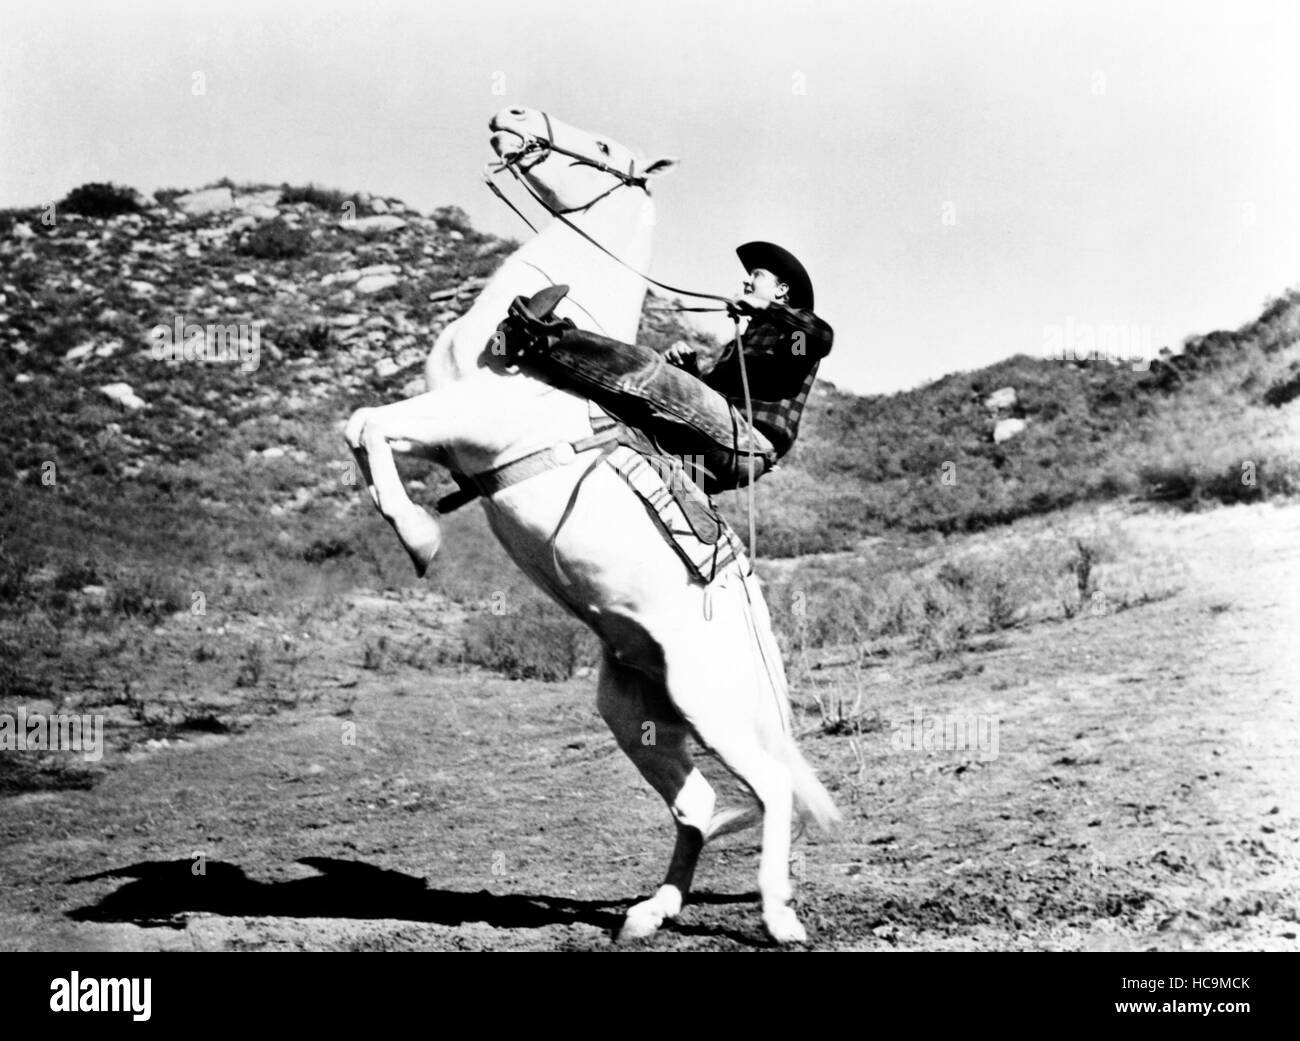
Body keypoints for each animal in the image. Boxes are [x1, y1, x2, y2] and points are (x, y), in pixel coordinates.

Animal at [344, 106, 840, 943]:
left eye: (603, 147)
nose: (509, 117)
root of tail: (752, 620)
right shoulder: (446, 438)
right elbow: (363, 431)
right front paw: (417, 528)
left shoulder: (470, 422)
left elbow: (369, 424)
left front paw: (420, 540)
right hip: (638, 710)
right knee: (701, 807)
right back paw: (649, 912)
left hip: (712, 705)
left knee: (768, 787)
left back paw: (779, 918)